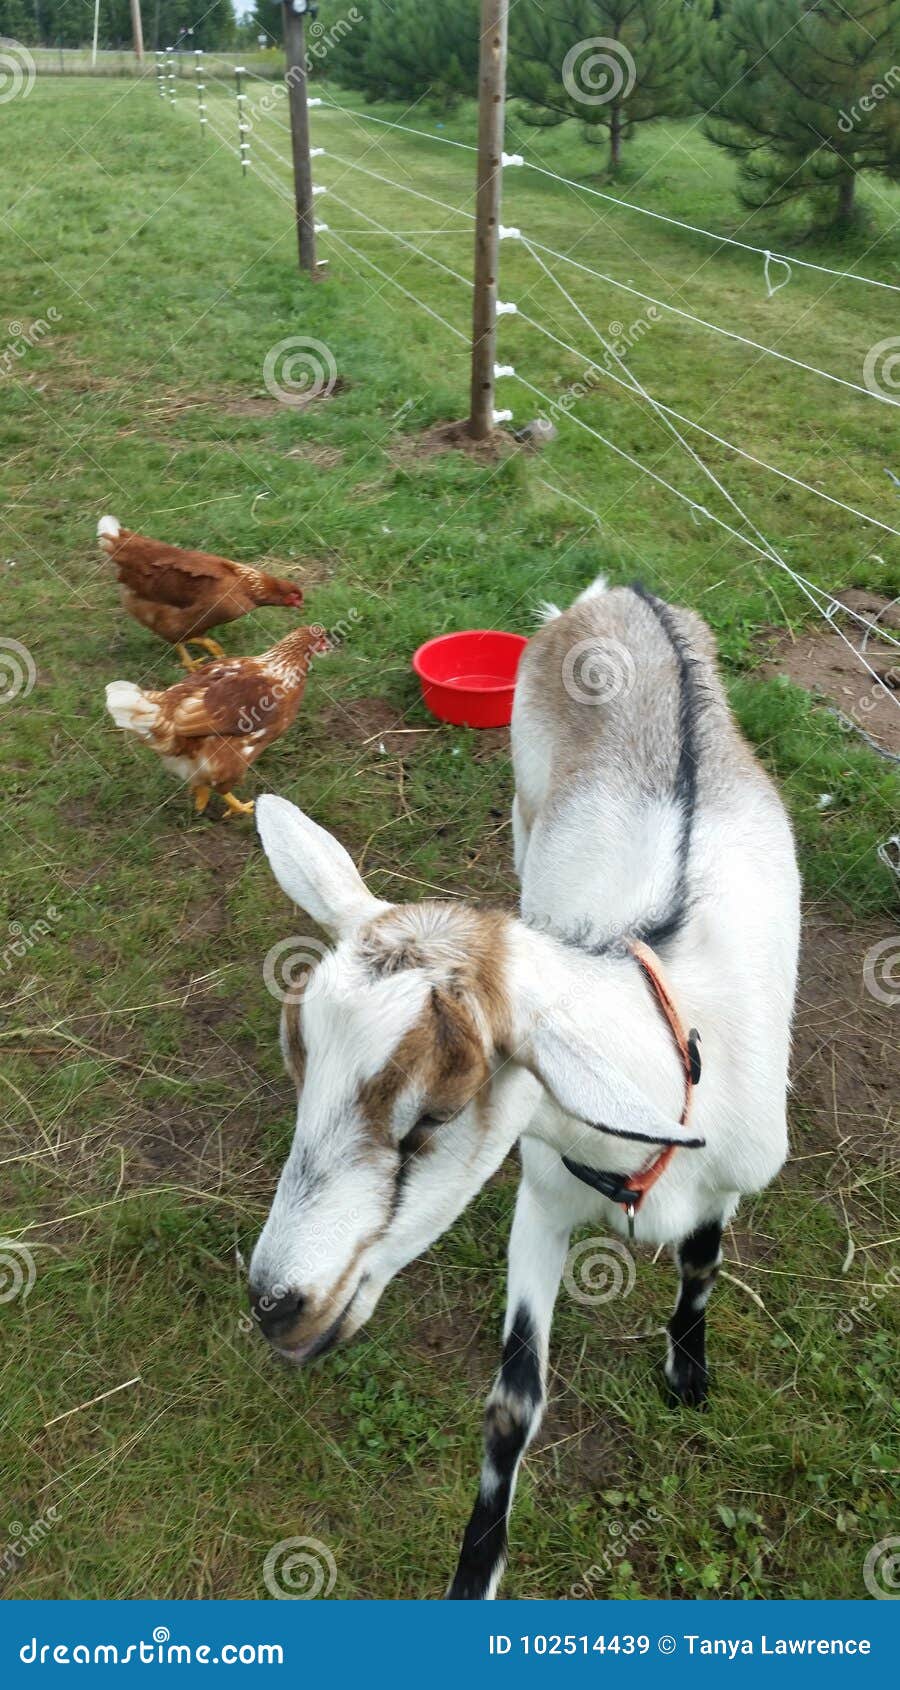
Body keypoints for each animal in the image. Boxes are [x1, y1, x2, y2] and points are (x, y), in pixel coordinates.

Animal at [249, 575, 801, 1599]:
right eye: (299, 1071)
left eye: (432, 1115)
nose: (274, 1304)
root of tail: (623, 591)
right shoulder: (540, 1190)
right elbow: (512, 1401)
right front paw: (476, 1576)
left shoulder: (730, 1183)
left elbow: (702, 1269)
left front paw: (688, 1380)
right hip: (522, 798)